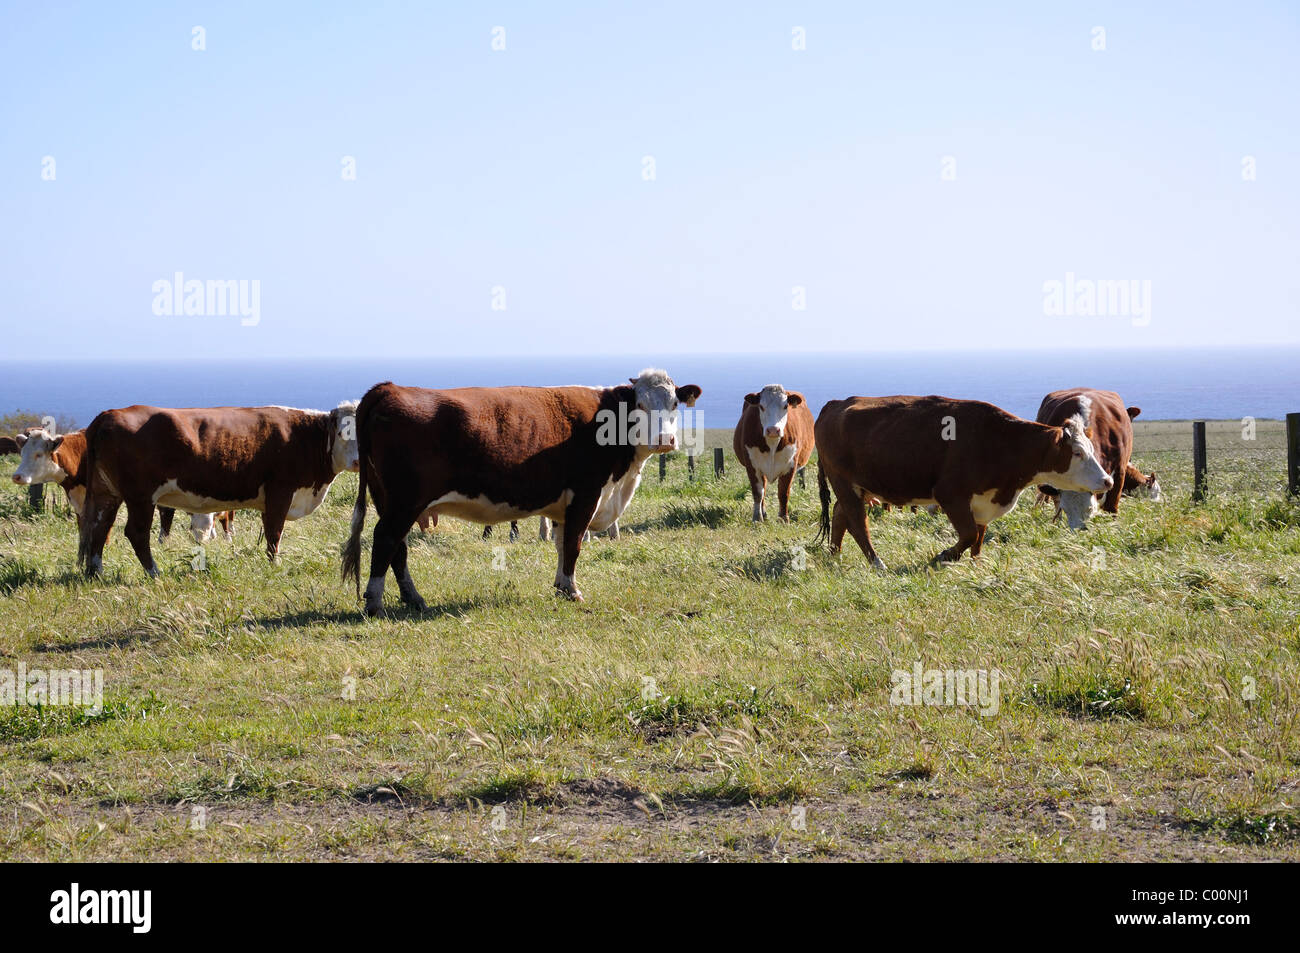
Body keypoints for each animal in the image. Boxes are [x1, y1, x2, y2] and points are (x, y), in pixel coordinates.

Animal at [77, 402, 359, 578]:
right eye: (342, 433)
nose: (358, 461)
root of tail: (110, 413)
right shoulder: (280, 490)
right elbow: (274, 532)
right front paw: (275, 564)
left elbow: (269, 531)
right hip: (140, 496)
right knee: (136, 533)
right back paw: (154, 572)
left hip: (106, 492)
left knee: (99, 527)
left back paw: (95, 572)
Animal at [342, 369, 701, 615]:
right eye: (640, 404)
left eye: (674, 404)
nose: (665, 440)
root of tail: (389, 388)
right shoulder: (586, 494)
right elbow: (573, 545)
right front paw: (573, 591)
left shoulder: (565, 503)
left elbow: (561, 544)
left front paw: (561, 586)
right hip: (405, 499)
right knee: (386, 539)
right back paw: (374, 603)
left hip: (388, 497)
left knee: (397, 548)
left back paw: (413, 599)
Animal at [733, 385, 815, 522]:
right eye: (761, 406)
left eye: (785, 406)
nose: (773, 430)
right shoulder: (752, 465)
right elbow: (758, 492)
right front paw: (757, 518)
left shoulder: (791, 465)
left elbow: (783, 492)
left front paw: (784, 519)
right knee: (763, 491)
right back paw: (764, 514)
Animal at [814, 395, 1112, 568]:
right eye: (1077, 452)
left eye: (1091, 449)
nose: (1107, 481)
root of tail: (836, 403)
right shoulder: (951, 494)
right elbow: (968, 534)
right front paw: (944, 556)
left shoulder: (984, 501)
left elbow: (979, 534)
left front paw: (975, 564)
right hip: (843, 481)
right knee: (857, 522)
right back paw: (877, 563)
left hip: (860, 486)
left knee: (840, 515)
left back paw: (835, 554)